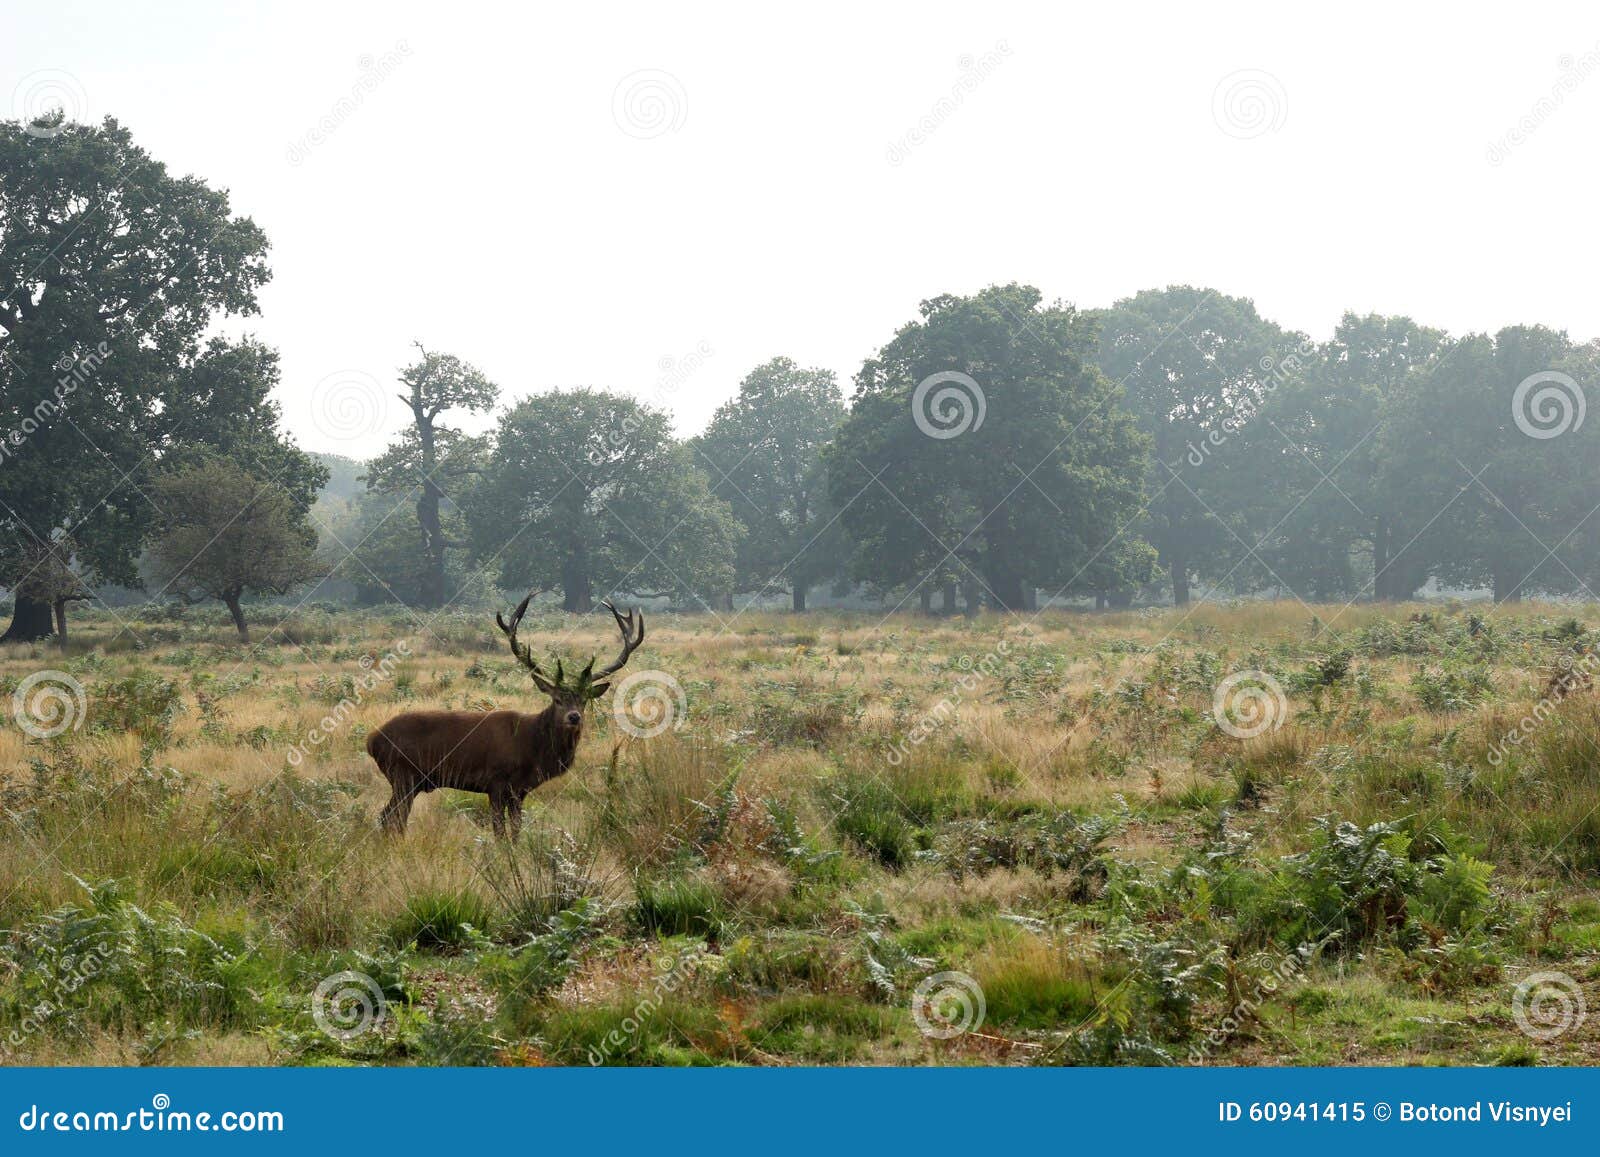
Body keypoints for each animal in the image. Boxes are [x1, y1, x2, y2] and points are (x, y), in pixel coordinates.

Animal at [365, 595, 644, 838]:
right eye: (557, 699)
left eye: (584, 700)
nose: (574, 717)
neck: (533, 749)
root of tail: (371, 740)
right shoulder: (496, 781)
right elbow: (499, 830)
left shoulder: (519, 790)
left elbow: (517, 829)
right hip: (403, 774)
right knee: (390, 817)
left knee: (392, 817)